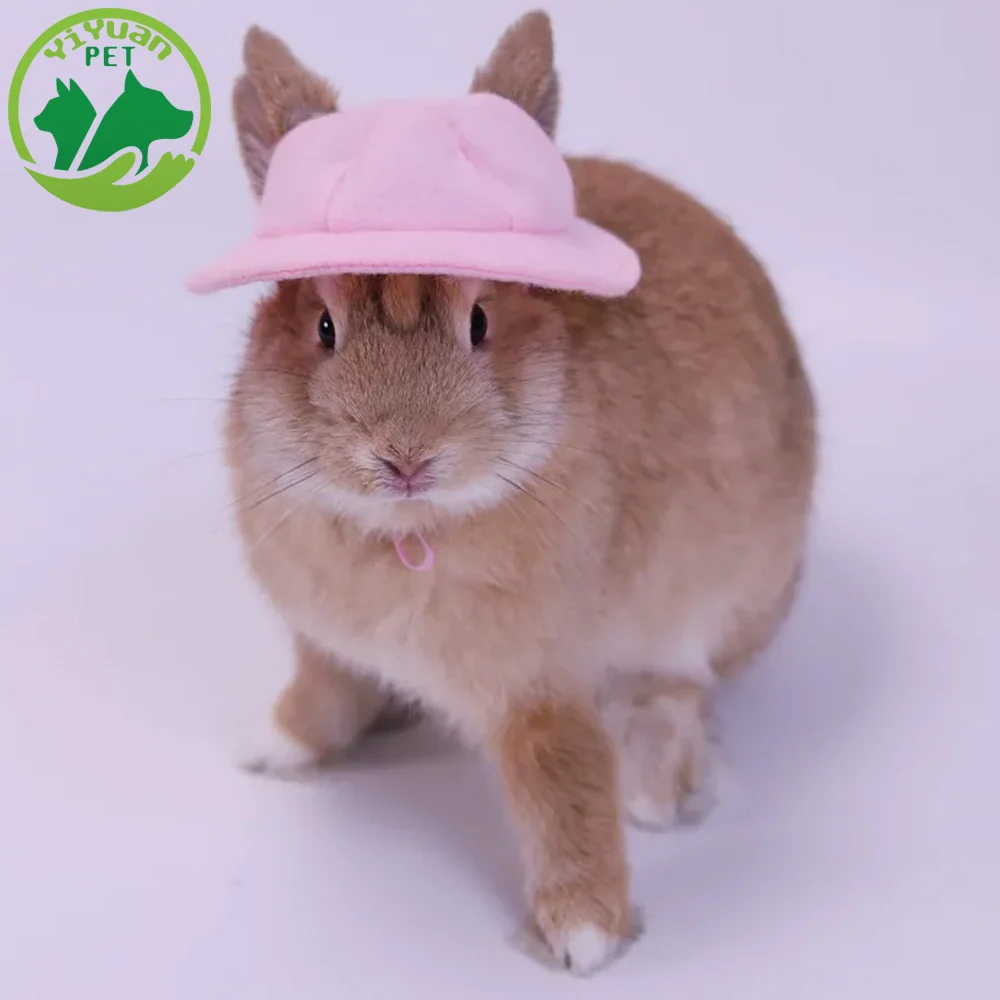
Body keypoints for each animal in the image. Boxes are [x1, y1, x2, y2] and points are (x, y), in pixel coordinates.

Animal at [221, 10, 817, 976]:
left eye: (479, 321)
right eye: (323, 326)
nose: (406, 455)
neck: (407, 526)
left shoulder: (542, 687)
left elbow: (562, 785)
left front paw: (586, 936)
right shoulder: (327, 645)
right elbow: (322, 693)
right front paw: (272, 748)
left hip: (721, 601)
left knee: (679, 691)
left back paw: (659, 789)